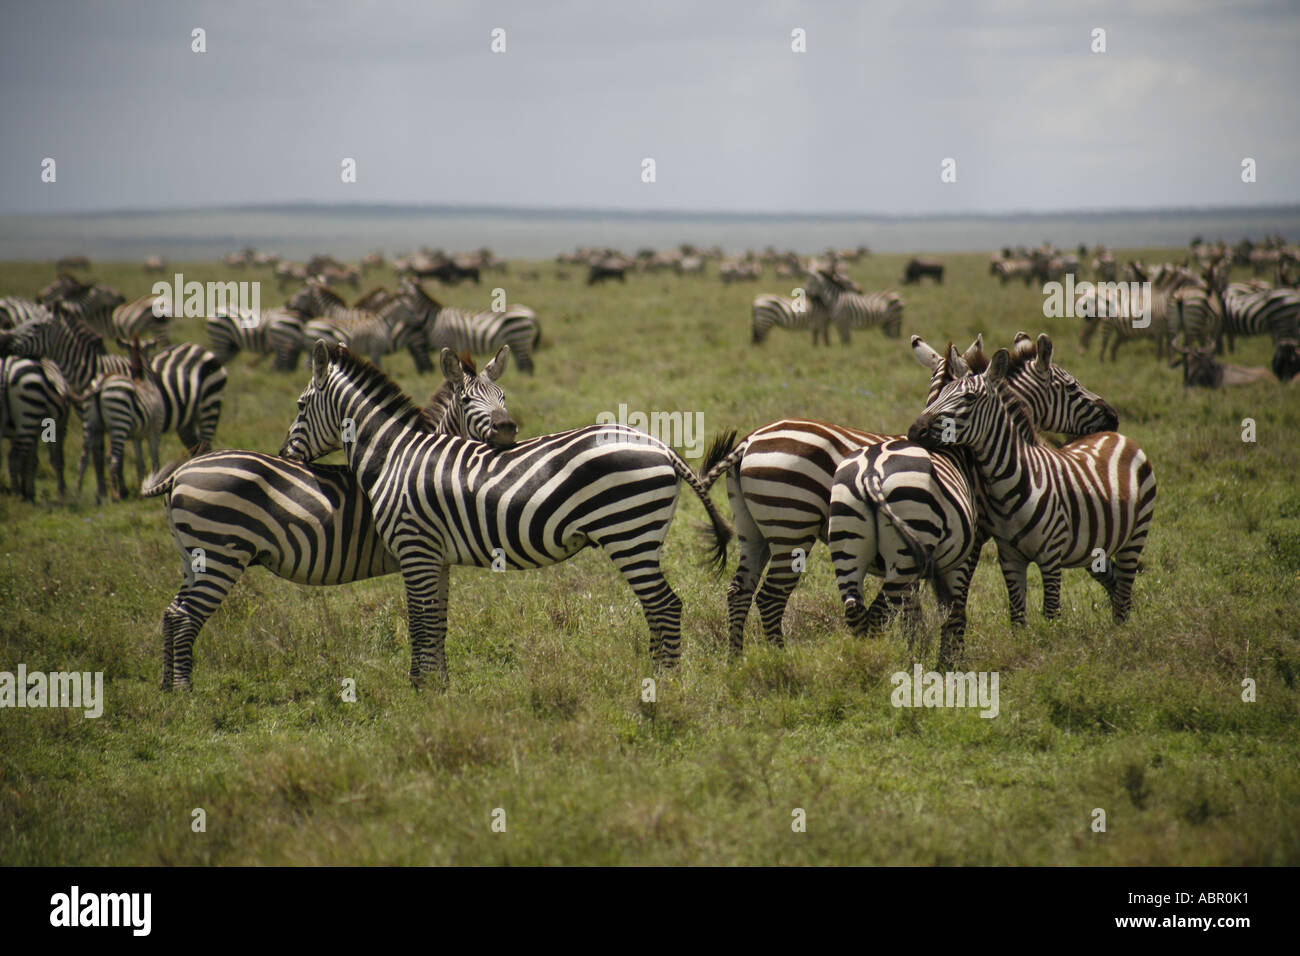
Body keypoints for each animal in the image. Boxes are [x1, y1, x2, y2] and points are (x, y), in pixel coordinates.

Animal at [0, 356, 70, 501]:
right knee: (14, 458)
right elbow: (56, 460)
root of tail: (6, 369)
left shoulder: (26, 431)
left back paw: (19, 493)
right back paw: (16, 496)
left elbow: (30, 461)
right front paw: (62, 491)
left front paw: (28, 491)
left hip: (26, 421)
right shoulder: (59, 427)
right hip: (29, 414)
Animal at [143, 346, 517, 689]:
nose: (507, 428)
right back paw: (184, 692)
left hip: (193, 558)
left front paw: (440, 683)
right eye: (467, 400)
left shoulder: (436, 558)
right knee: (186, 617)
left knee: (172, 614)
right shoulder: (421, 551)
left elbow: (438, 621)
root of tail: (179, 473)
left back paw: (167, 688)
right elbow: (428, 620)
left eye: (503, 396)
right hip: (219, 555)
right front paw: (430, 685)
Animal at [278, 341, 732, 687]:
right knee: (660, 607)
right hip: (641, 537)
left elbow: (419, 621)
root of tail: (661, 445)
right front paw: (439, 690)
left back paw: (664, 684)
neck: (395, 456)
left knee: (665, 605)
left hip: (628, 533)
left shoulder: (415, 549)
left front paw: (418, 691)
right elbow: (437, 622)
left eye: (300, 406)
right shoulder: (436, 557)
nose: (285, 455)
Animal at [386, 278, 541, 374]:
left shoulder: (447, 341)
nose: (390, 298)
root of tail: (531, 313)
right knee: (523, 366)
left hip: (519, 338)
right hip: (516, 343)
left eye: (398, 294)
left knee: (528, 366)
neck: (434, 318)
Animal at [826, 334, 1118, 665]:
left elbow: (916, 614)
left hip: (848, 549)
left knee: (857, 613)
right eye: (1071, 387)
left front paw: (920, 653)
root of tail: (871, 473)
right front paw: (948, 659)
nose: (1113, 417)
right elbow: (955, 608)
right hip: (905, 556)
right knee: (877, 612)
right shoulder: (971, 547)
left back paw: (863, 661)